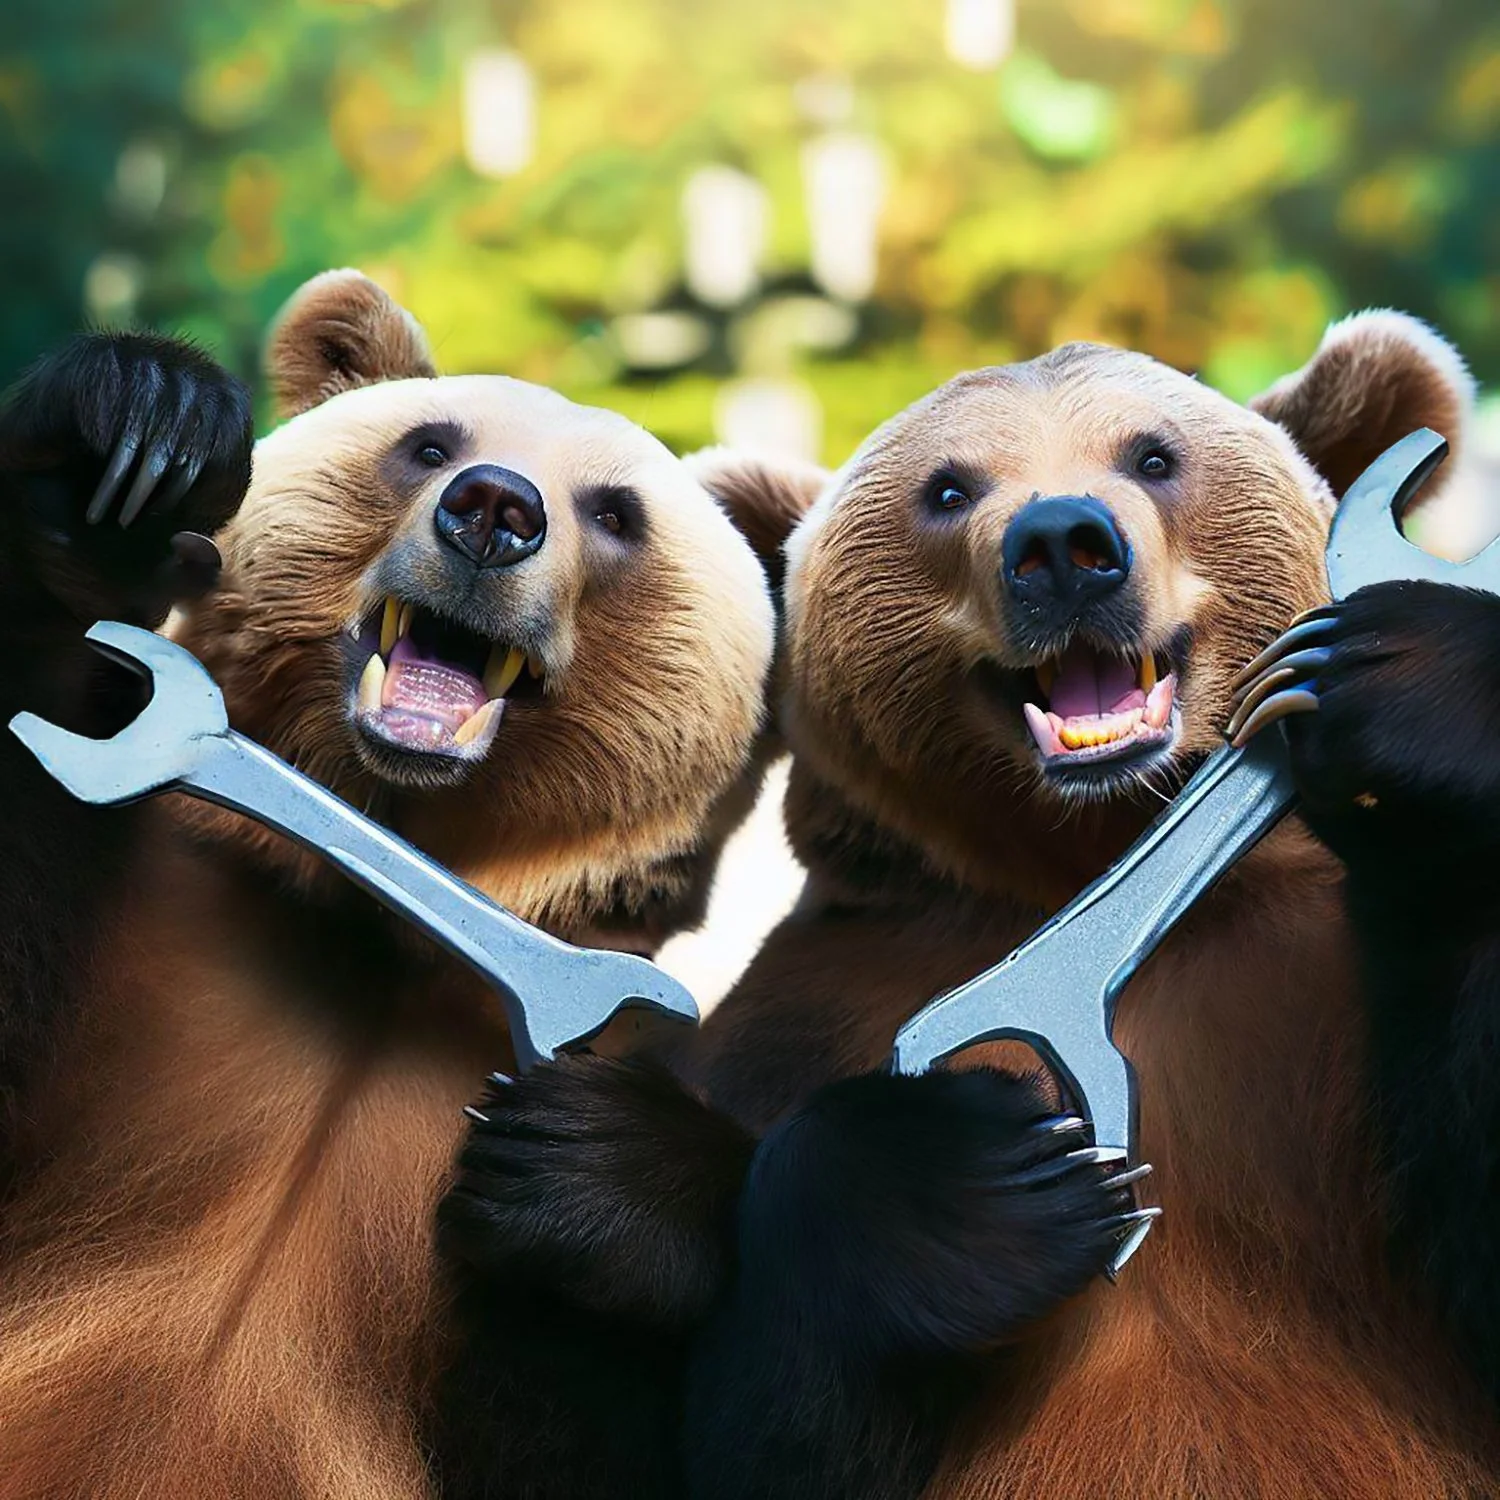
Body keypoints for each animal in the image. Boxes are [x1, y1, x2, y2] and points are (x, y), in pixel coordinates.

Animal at [0, 268, 780, 1500]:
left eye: (617, 514)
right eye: (428, 445)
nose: (495, 511)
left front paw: (591, 1169)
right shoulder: (156, 942)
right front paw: (138, 436)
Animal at [445, 311, 1500, 1500]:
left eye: (1154, 455)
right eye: (948, 489)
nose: (1064, 545)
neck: (1068, 869)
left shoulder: (1309, 1018)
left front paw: (1407, 676)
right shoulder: (835, 996)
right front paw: (962, 1182)